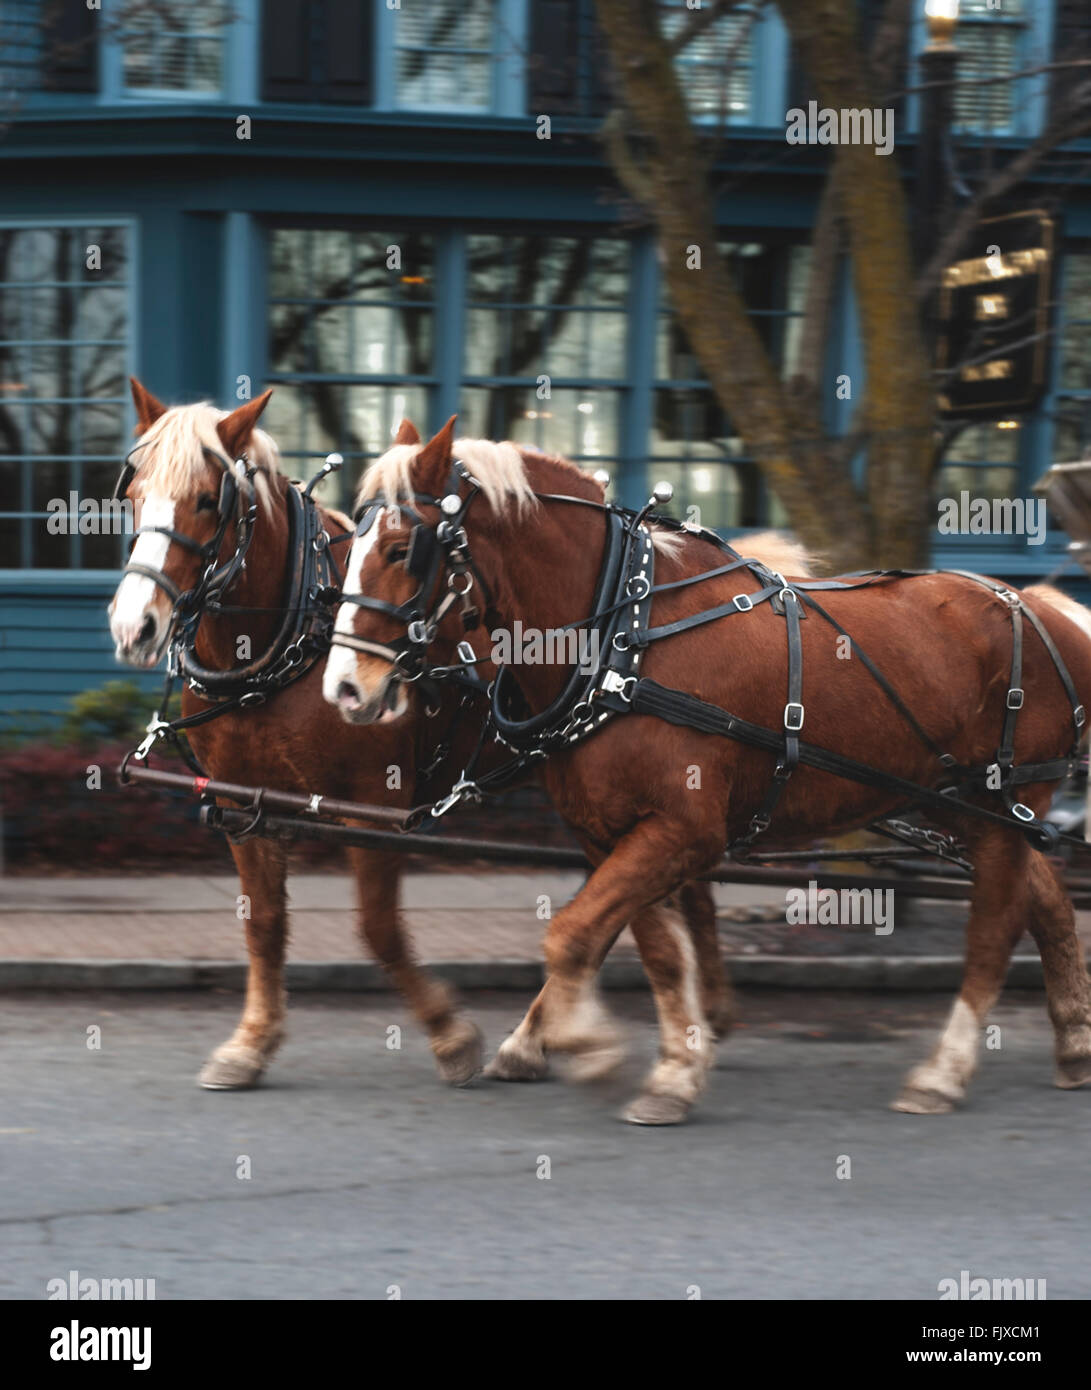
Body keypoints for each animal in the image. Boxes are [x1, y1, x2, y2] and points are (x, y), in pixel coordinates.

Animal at [325, 415, 1091, 1125]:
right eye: (349, 545)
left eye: (402, 548)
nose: (344, 689)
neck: (625, 636)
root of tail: (1042, 607)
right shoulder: (613, 832)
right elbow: (645, 947)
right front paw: (668, 1067)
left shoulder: (686, 831)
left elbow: (573, 933)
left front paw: (594, 1047)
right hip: (958, 804)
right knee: (1047, 899)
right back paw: (1073, 1043)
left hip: (1002, 800)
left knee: (994, 927)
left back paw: (944, 1071)